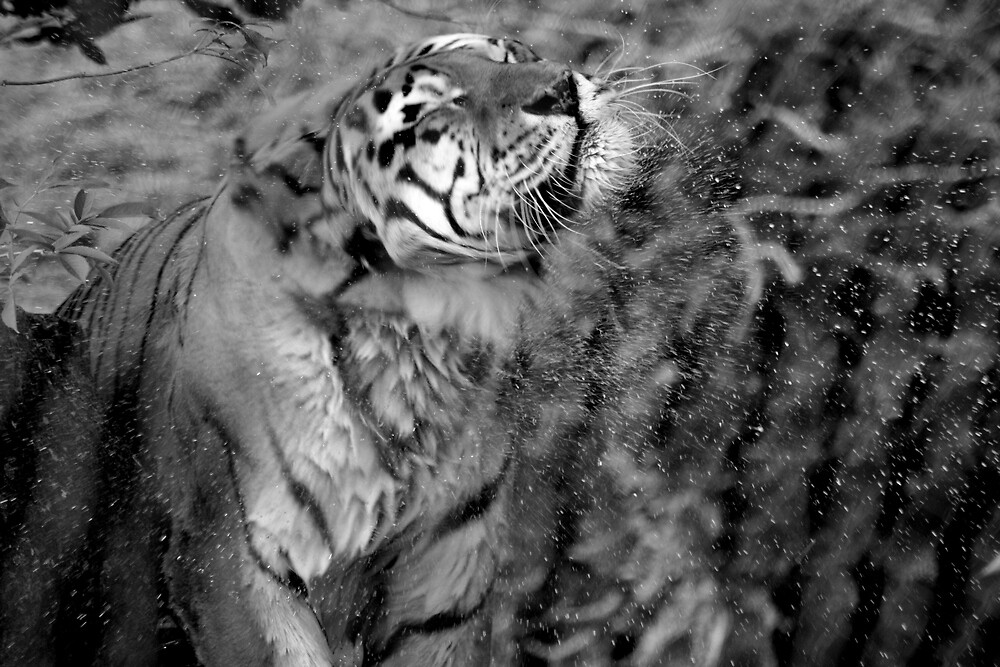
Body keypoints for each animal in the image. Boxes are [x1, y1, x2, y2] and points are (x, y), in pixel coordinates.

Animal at [1, 32, 752, 665]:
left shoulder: (444, 577)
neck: (419, 340)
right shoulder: (231, 564)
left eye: (512, 54)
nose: (561, 88)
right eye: (435, 111)